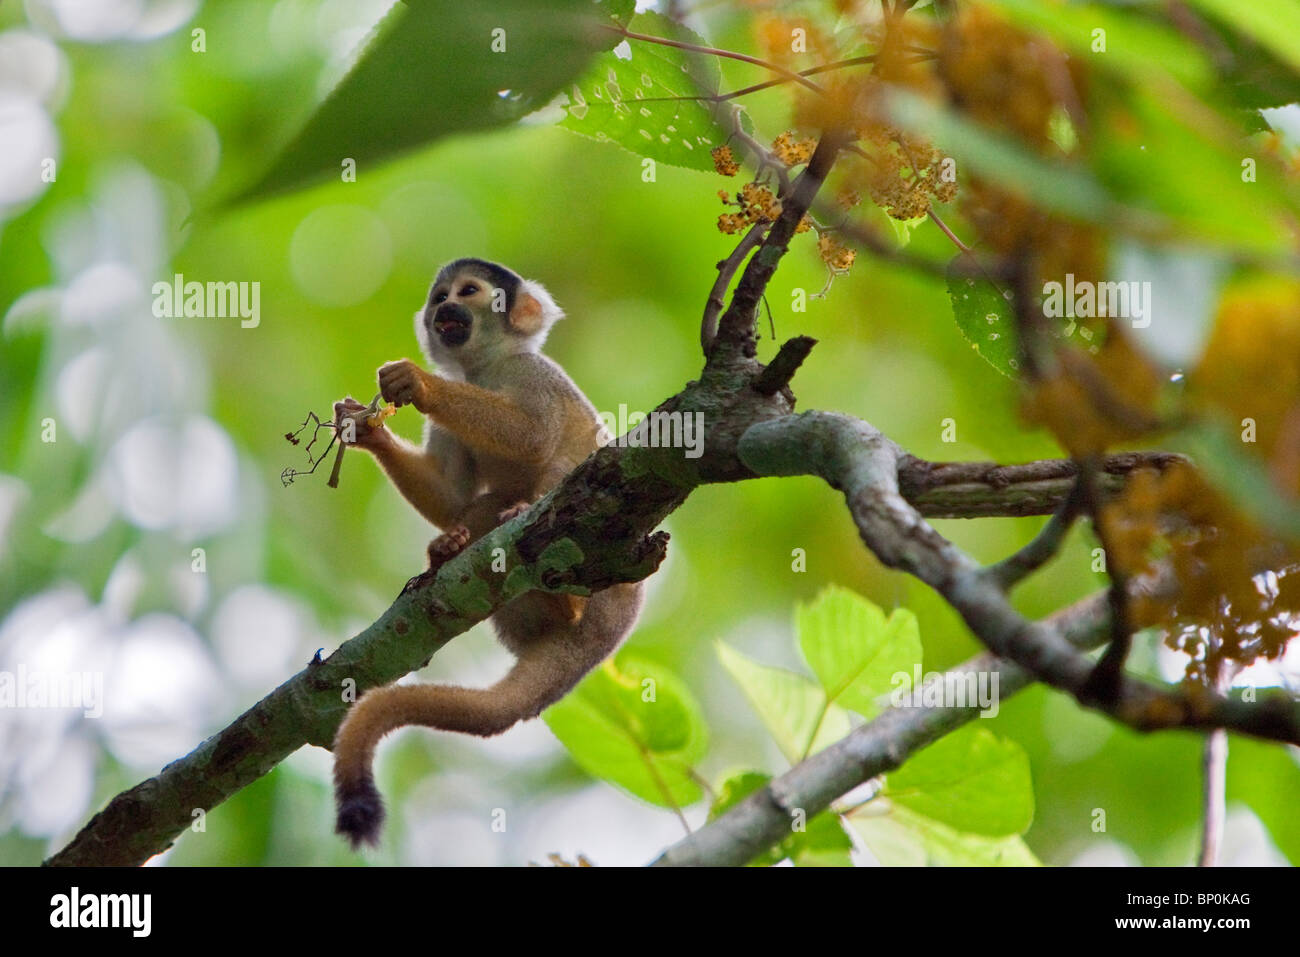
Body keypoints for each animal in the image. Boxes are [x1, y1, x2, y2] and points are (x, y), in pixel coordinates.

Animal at [329, 258, 645, 849]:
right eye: (440, 297)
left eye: (469, 291)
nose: (445, 310)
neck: (487, 368)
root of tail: (600, 646)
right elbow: (453, 496)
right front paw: (363, 428)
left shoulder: (536, 374)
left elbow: (533, 436)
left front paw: (417, 382)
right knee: (485, 502)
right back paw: (452, 550)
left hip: (612, 593)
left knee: (556, 469)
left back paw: (563, 589)